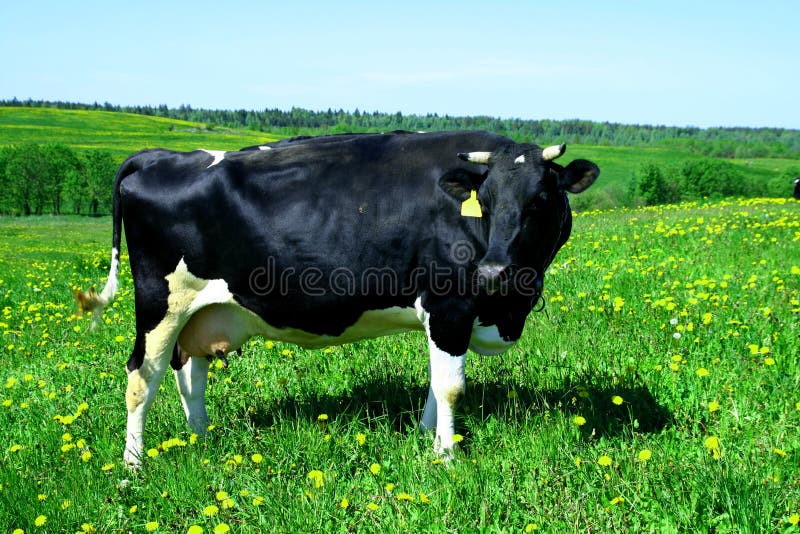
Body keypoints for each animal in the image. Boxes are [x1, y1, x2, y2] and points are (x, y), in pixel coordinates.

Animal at [77, 130, 599, 467]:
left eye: (539, 201)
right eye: (484, 202)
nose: (492, 272)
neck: (508, 308)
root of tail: (160, 156)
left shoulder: (440, 318)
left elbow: (434, 384)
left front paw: (425, 438)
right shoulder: (449, 306)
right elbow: (451, 386)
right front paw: (448, 458)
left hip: (200, 311)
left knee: (189, 375)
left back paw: (202, 441)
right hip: (158, 303)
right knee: (142, 377)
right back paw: (133, 466)